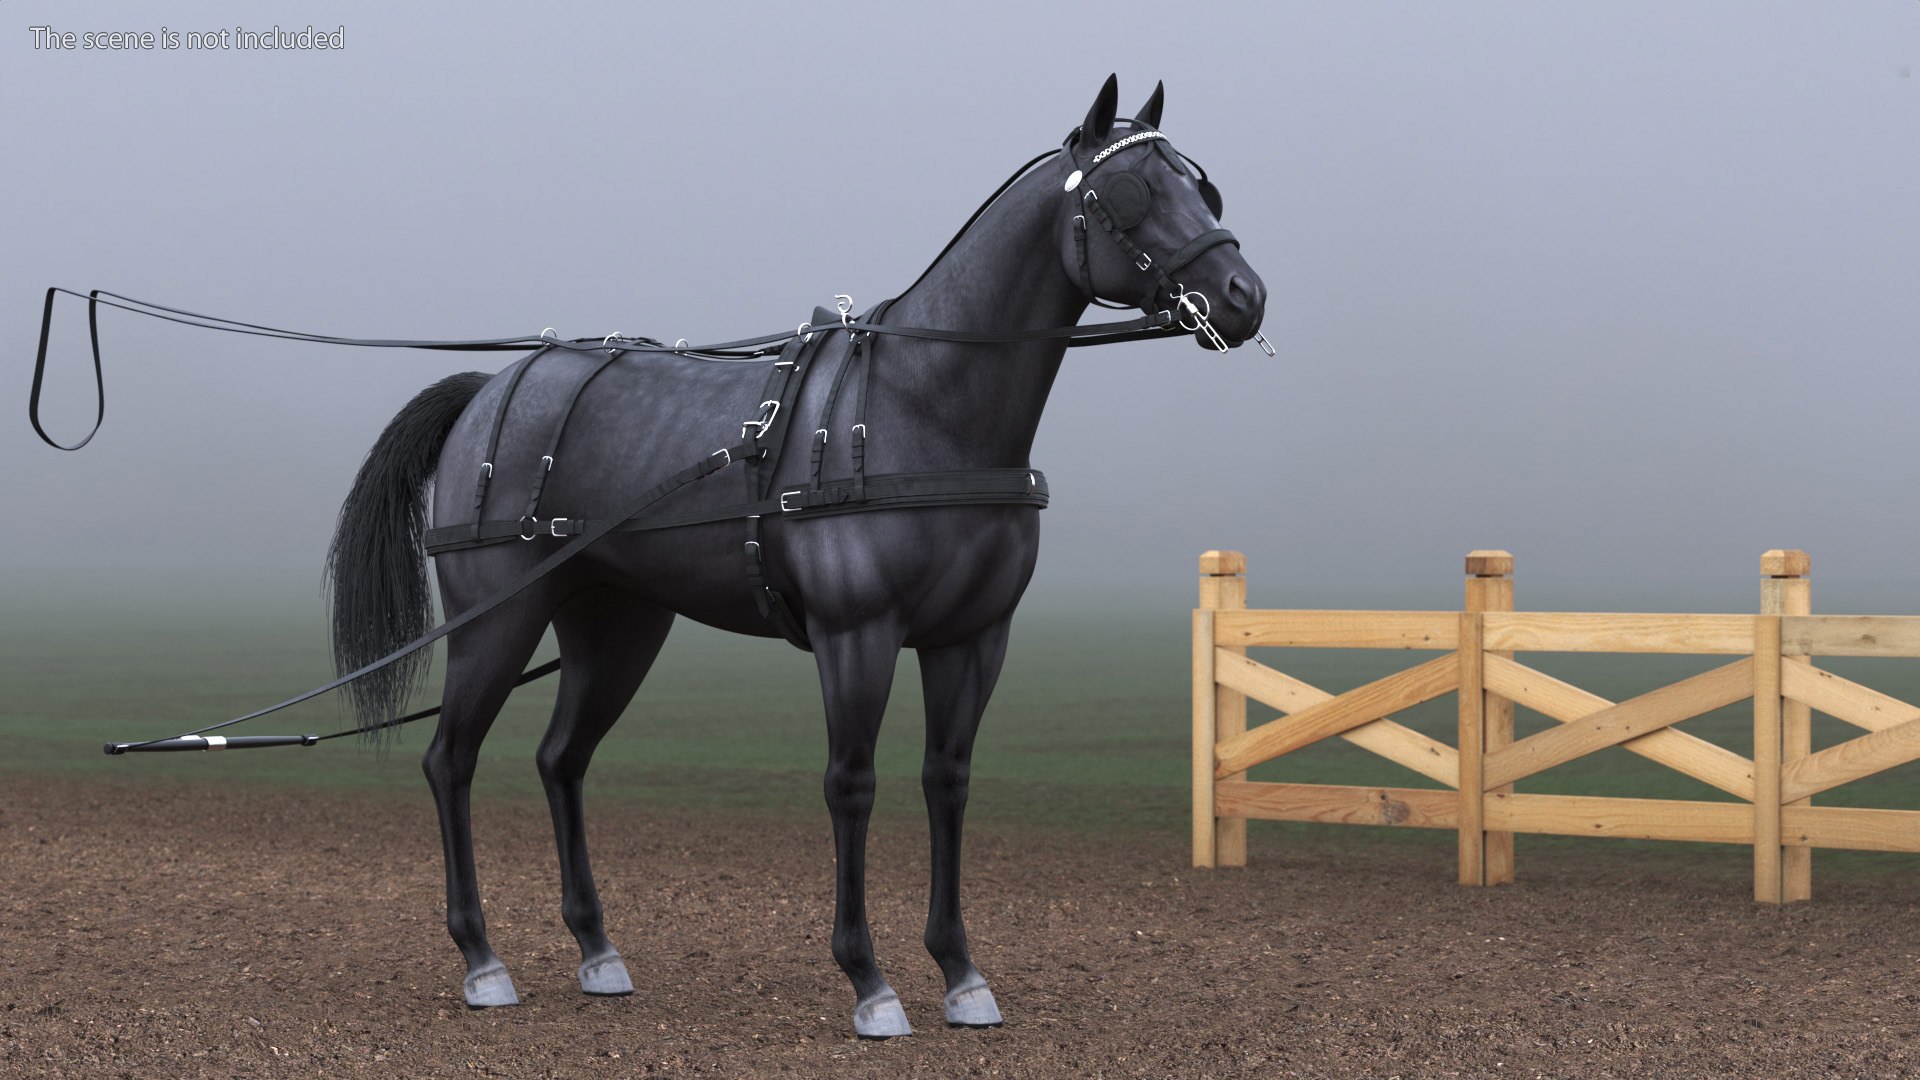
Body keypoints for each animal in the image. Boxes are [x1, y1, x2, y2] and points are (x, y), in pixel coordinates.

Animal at [322, 75, 1267, 1038]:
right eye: (1131, 194)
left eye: (1203, 188)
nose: (1243, 296)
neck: (921, 406)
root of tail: (495, 386)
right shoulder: (858, 634)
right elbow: (851, 784)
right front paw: (869, 980)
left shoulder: (973, 639)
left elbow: (947, 783)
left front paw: (960, 971)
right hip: (500, 618)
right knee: (451, 759)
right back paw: (481, 958)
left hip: (617, 625)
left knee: (562, 758)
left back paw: (596, 949)